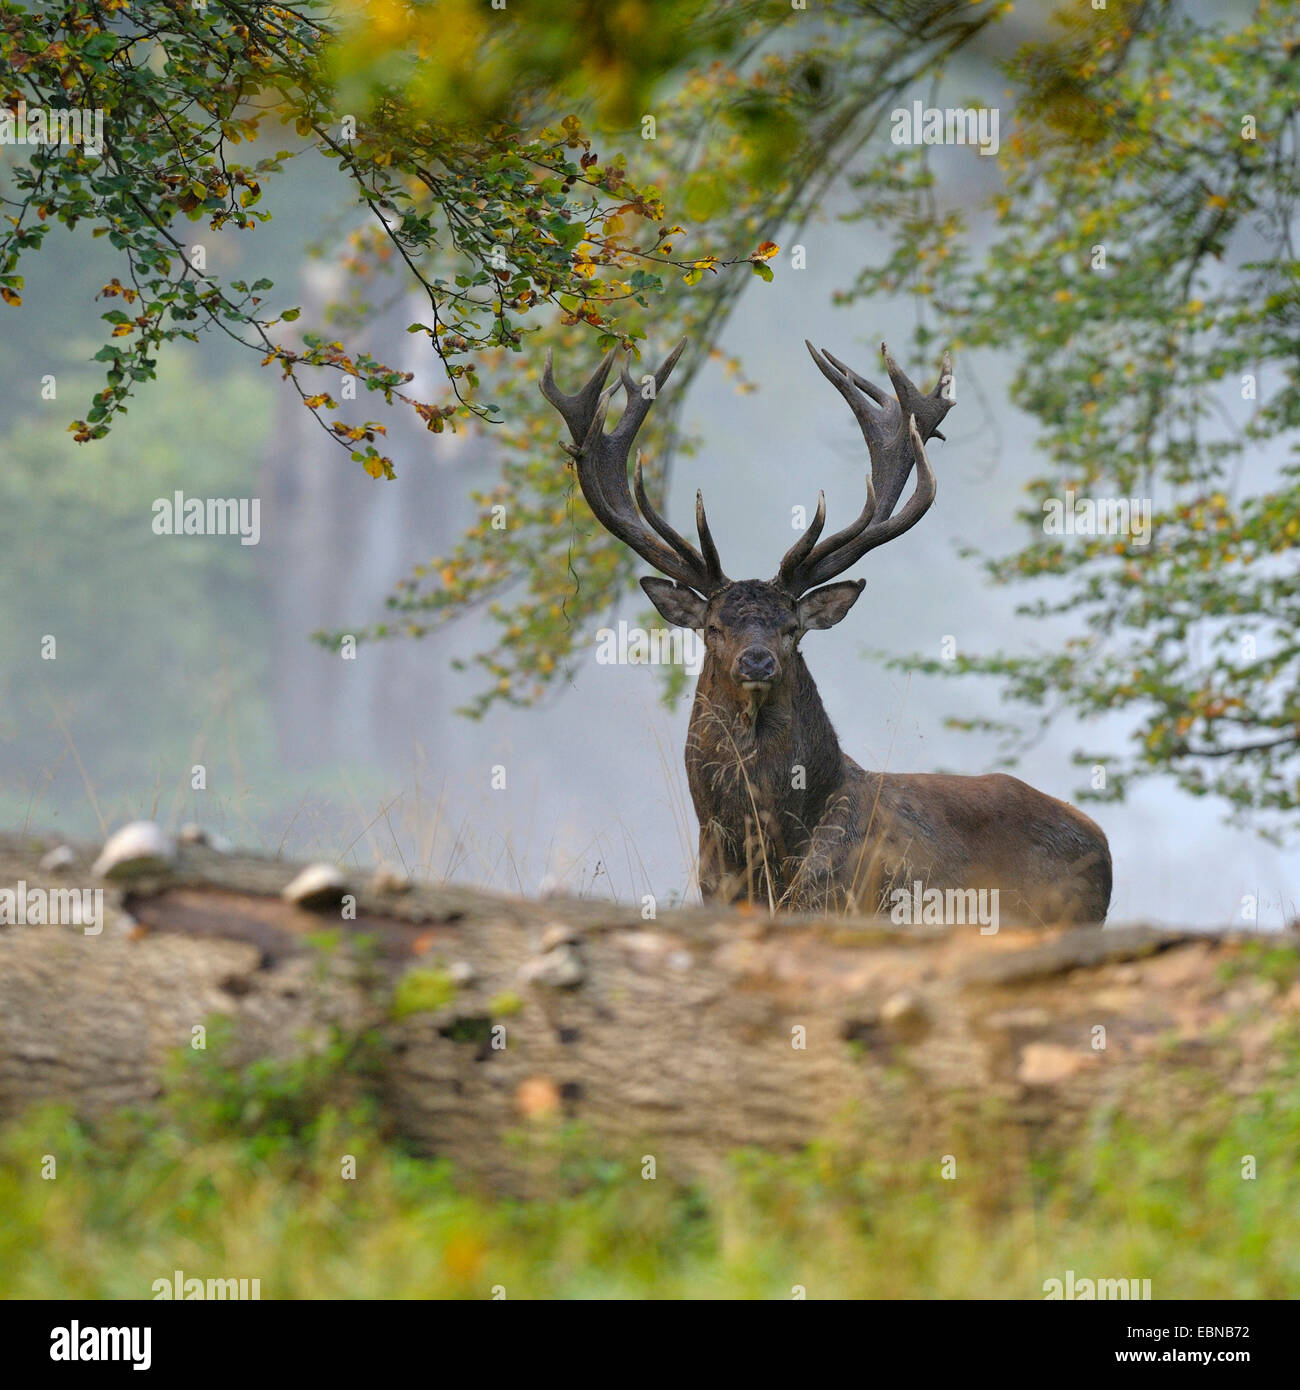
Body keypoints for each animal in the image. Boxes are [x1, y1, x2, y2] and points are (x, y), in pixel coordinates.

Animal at [541, 336, 1112, 925]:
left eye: (793, 627)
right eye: (714, 627)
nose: (758, 660)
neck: (763, 855)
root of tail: (1103, 842)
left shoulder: (849, 901)